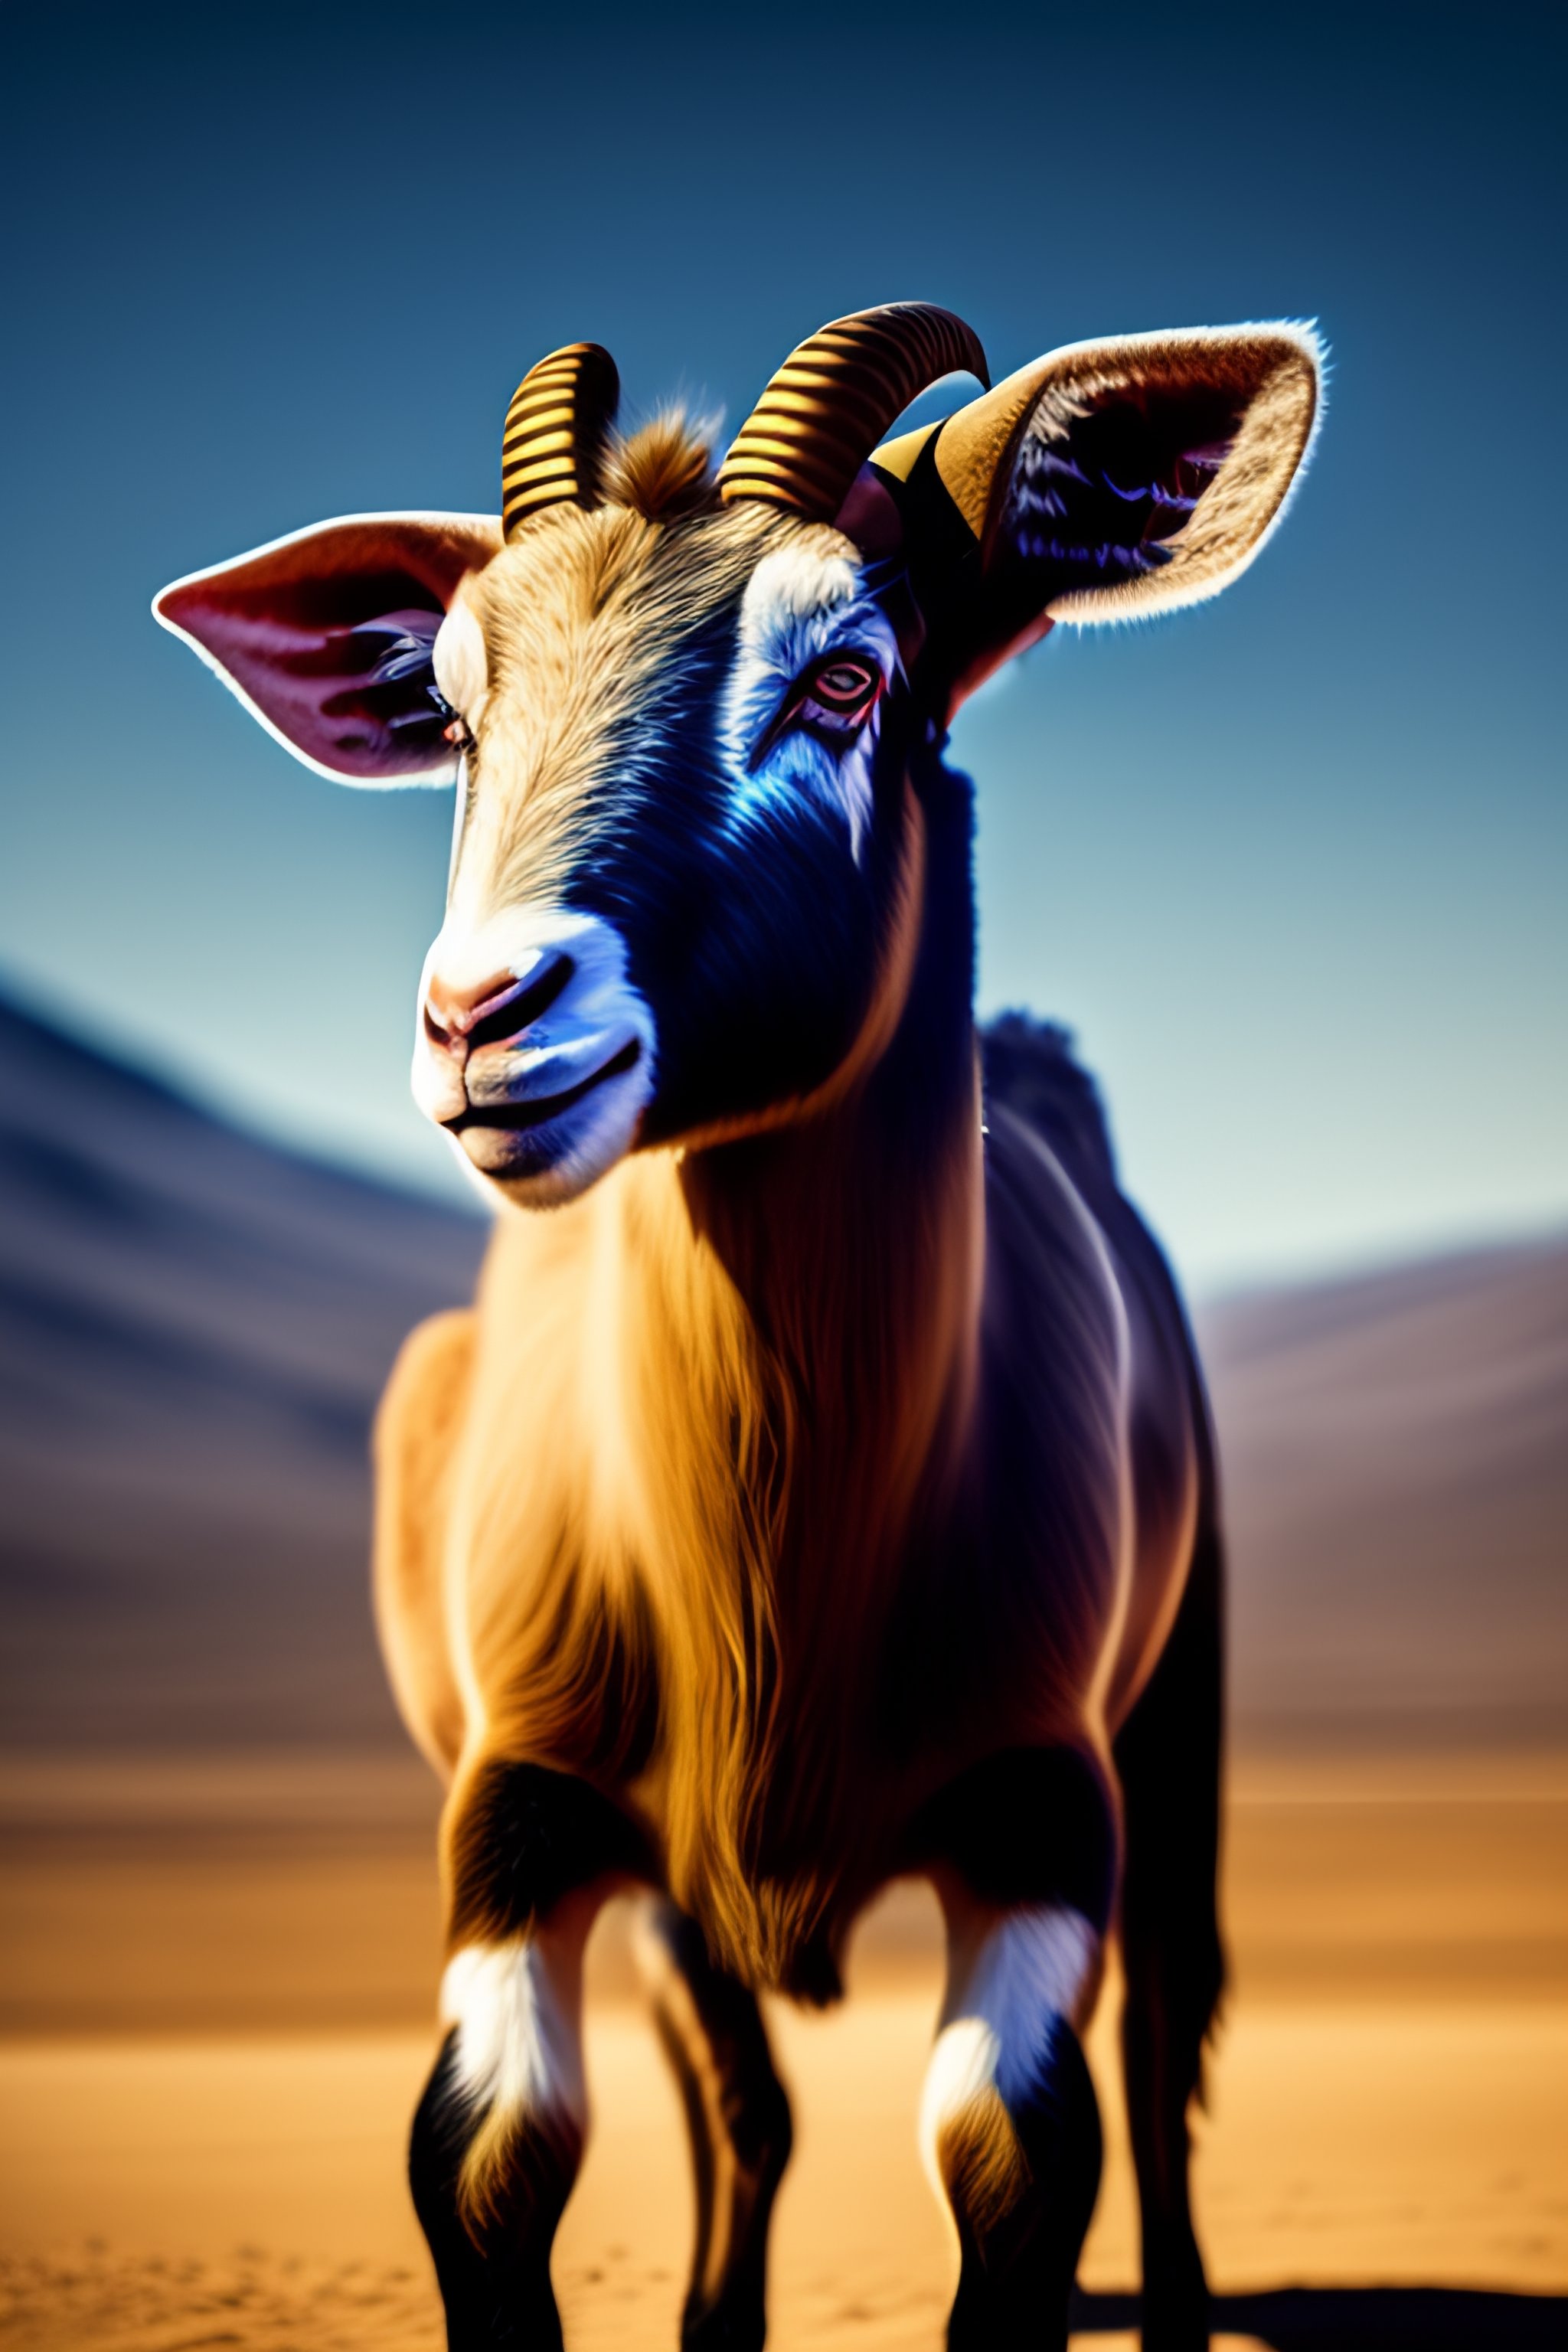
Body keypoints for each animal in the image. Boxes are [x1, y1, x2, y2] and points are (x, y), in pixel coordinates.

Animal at [156, 303, 1321, 2352]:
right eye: (455, 706)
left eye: (845, 672)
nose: (487, 1019)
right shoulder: (521, 1824)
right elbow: (489, 2150)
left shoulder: (1043, 1817)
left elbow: (1022, 2153)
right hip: (677, 1908)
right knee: (744, 2106)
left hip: (1168, 1735)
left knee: (1166, 2046)